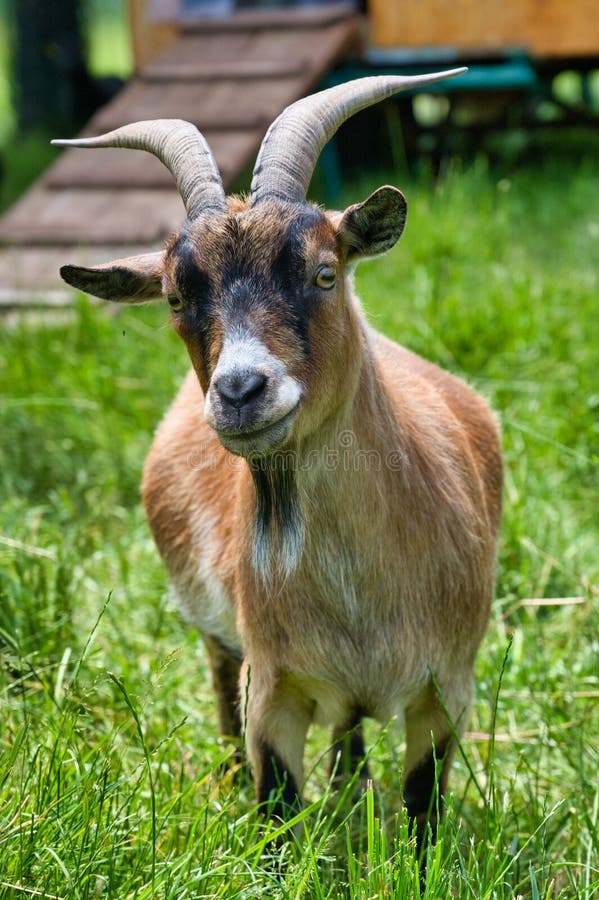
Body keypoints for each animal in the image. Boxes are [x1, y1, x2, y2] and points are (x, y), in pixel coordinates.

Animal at [54, 70, 502, 852]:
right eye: (176, 295)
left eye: (324, 273)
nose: (240, 391)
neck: (359, 596)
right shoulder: (271, 686)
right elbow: (276, 810)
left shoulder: (448, 684)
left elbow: (423, 807)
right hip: (217, 640)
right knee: (229, 702)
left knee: (350, 731)